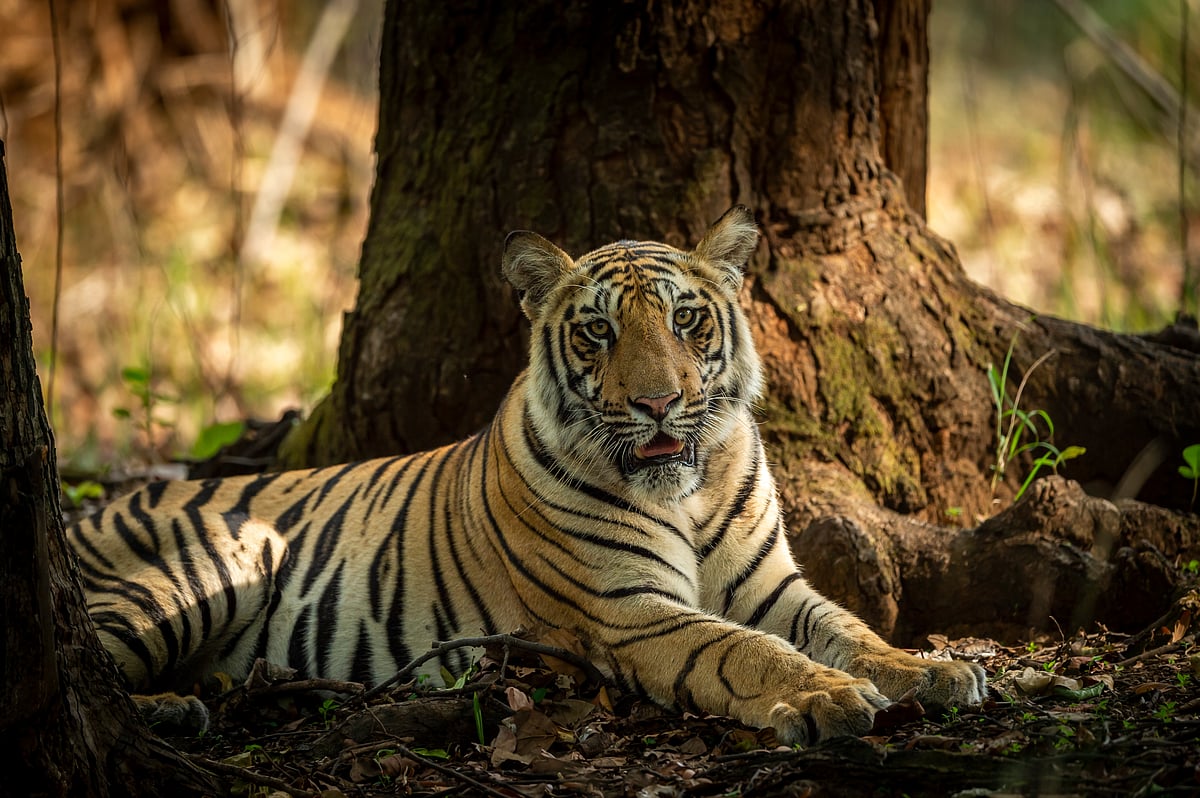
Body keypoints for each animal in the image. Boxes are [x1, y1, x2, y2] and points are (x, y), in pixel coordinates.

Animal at [67, 206, 987, 744]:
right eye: (597, 332)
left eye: (687, 320)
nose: (658, 403)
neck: (691, 493)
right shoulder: (628, 611)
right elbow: (744, 650)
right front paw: (829, 698)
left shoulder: (771, 584)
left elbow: (848, 627)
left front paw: (931, 670)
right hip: (208, 564)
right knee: (90, 667)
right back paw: (165, 712)